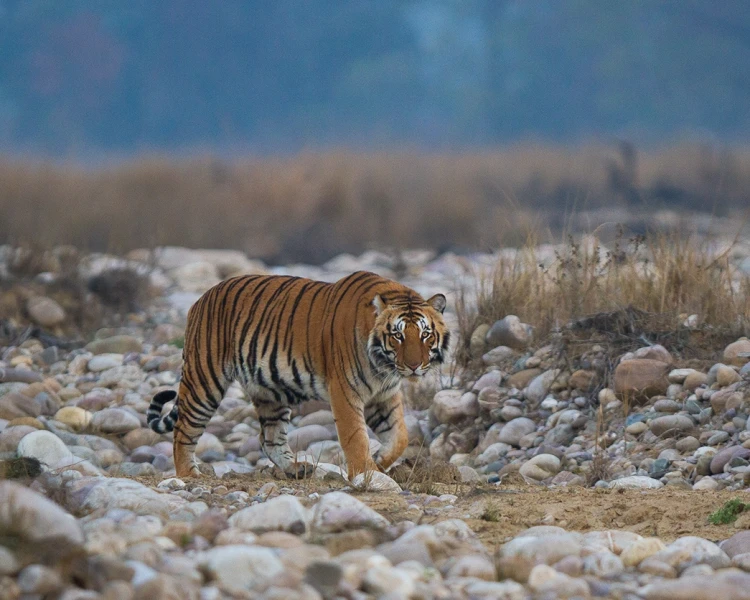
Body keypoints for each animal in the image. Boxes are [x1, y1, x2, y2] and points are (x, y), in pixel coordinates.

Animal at [150, 270, 450, 480]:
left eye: (425, 334)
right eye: (398, 336)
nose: (414, 366)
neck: (383, 367)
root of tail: (201, 299)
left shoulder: (383, 395)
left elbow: (400, 436)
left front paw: (379, 459)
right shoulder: (345, 391)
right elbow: (354, 436)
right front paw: (367, 473)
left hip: (269, 391)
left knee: (269, 438)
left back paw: (295, 469)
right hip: (205, 380)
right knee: (183, 430)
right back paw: (188, 474)